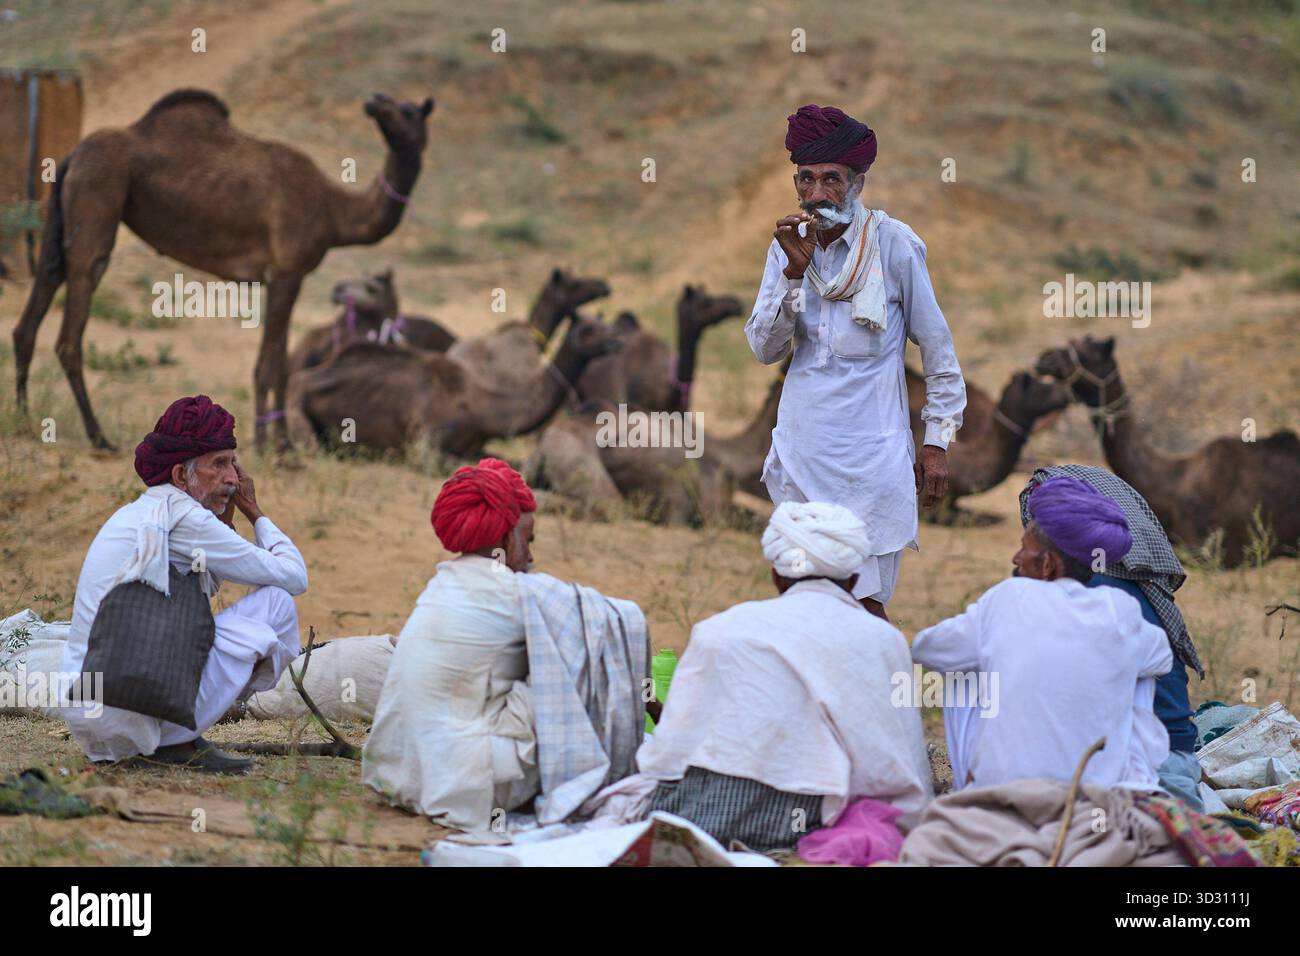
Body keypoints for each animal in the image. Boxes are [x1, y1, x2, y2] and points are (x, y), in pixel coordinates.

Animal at [12, 89, 433, 451]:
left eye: (408, 110)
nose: (375, 100)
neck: (335, 212)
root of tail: (73, 154)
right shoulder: (287, 273)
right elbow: (271, 367)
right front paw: (275, 449)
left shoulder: (282, 277)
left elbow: (278, 364)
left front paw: (277, 445)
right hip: (98, 193)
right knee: (73, 322)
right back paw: (98, 437)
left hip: (60, 214)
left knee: (36, 304)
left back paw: (25, 423)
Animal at [289, 312, 621, 460]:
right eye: (589, 328)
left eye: (605, 324)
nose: (616, 339)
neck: (479, 406)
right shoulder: (425, 443)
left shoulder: (477, 443)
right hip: (298, 408)